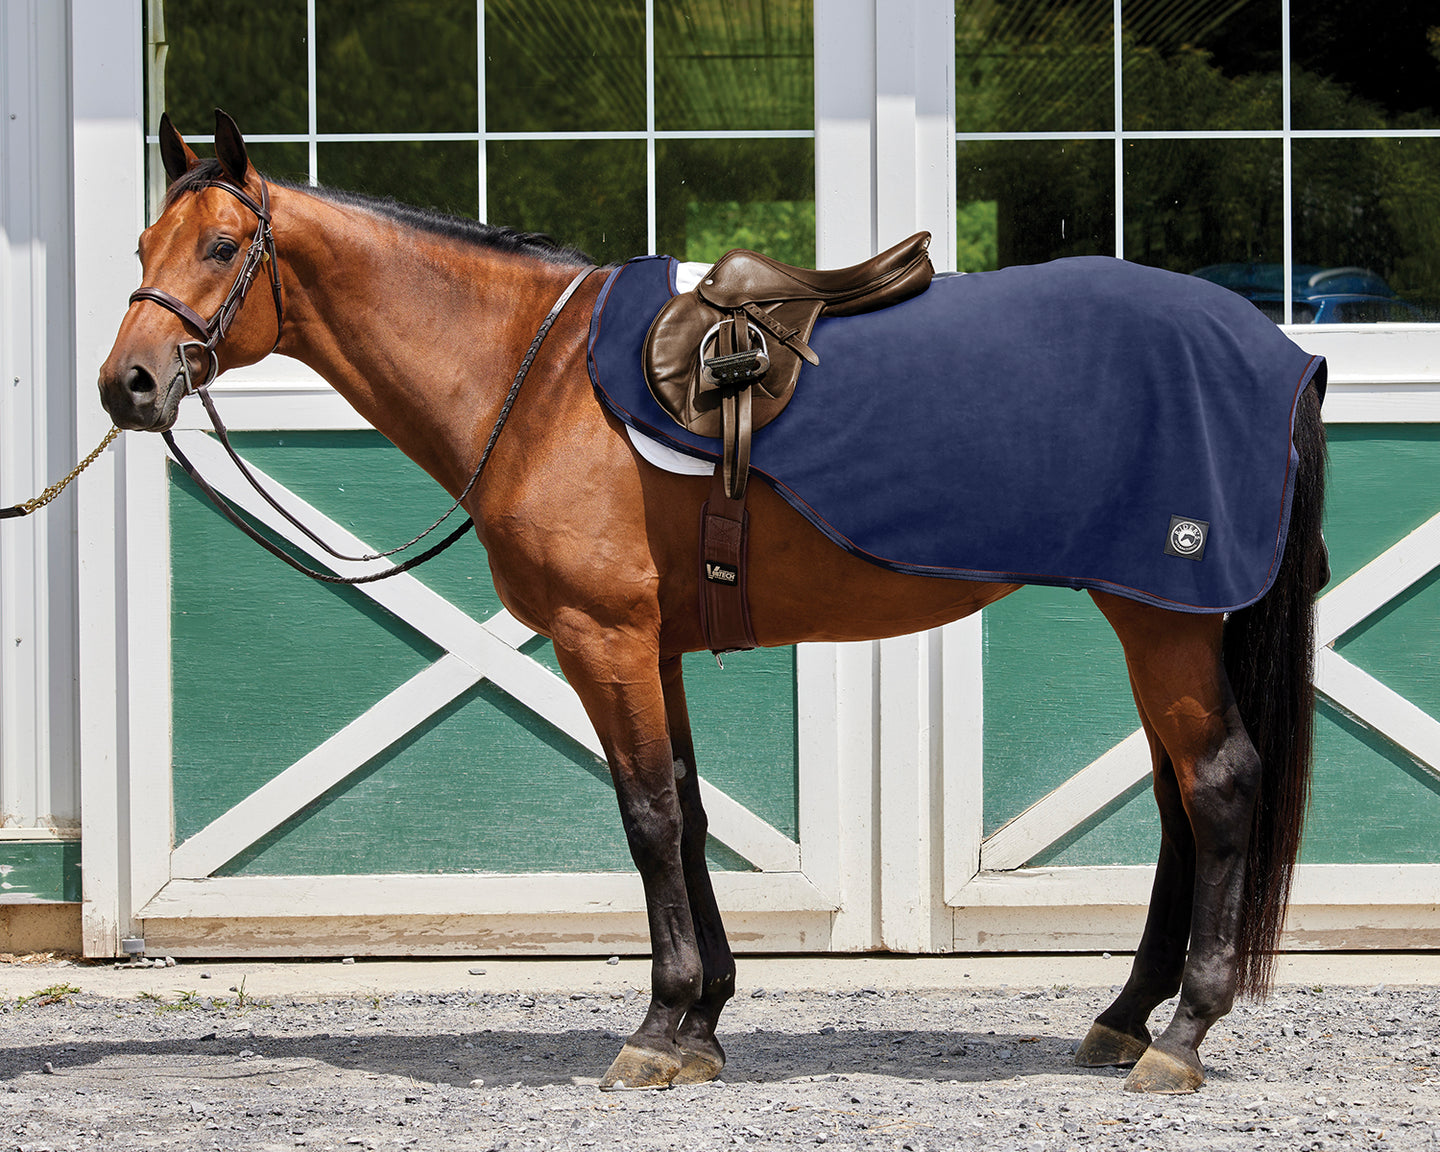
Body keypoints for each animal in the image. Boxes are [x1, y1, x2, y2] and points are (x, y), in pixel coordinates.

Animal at [98, 110, 1328, 1095]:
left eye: (222, 247)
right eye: (143, 247)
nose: (129, 384)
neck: (536, 377)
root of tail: (1273, 348)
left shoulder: (602, 641)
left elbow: (645, 817)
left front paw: (657, 1027)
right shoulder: (656, 649)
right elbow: (686, 812)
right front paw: (703, 1022)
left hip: (1165, 620)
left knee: (1220, 787)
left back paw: (1183, 1035)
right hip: (1155, 619)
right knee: (1179, 805)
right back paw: (1125, 1019)